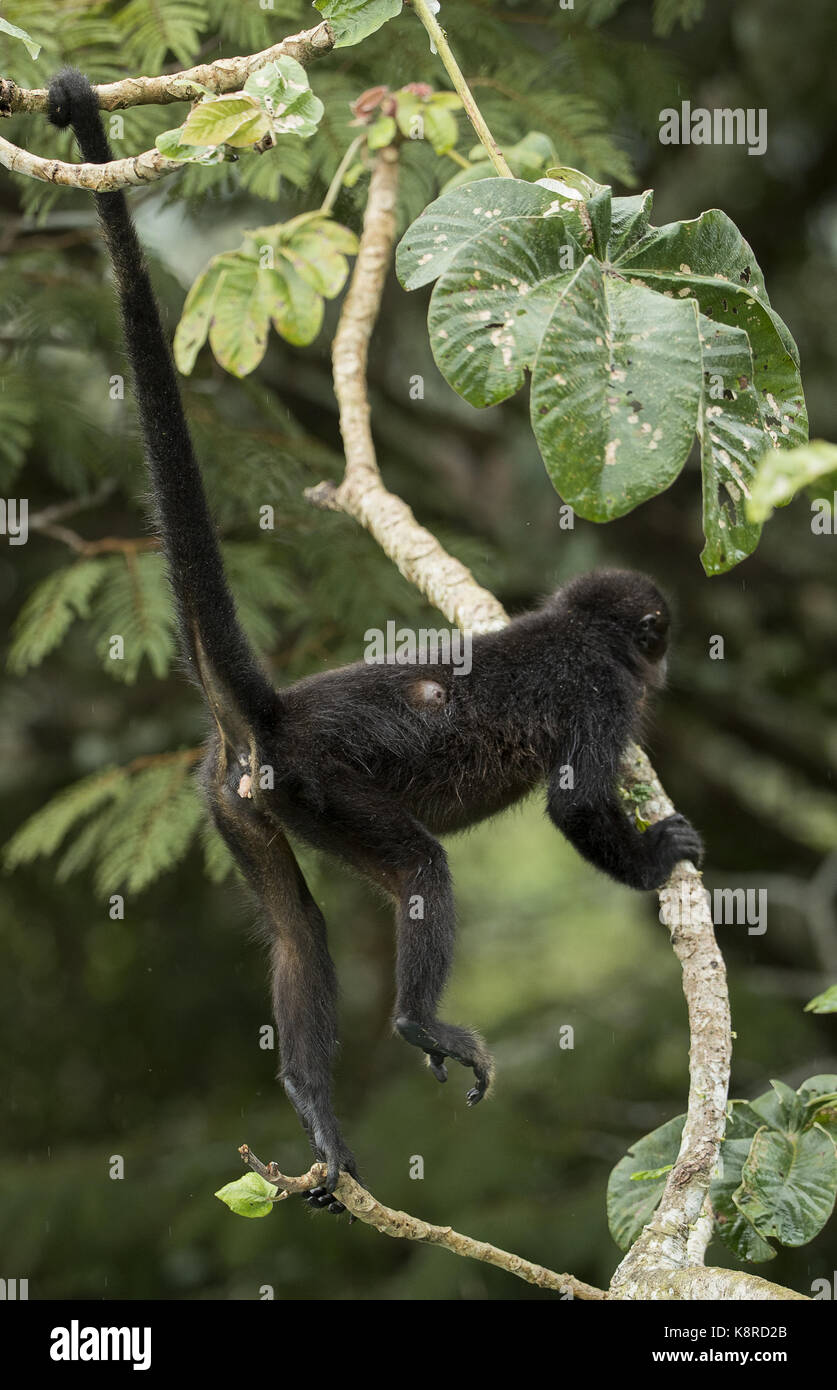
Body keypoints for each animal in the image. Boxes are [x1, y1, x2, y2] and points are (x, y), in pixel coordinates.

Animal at [46, 69, 703, 1214]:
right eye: (651, 644)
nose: (670, 653)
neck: (571, 623)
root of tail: (267, 721)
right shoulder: (604, 687)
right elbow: (575, 805)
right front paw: (652, 853)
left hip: (240, 804)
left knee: (296, 929)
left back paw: (314, 1105)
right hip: (328, 789)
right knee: (421, 870)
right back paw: (415, 1022)